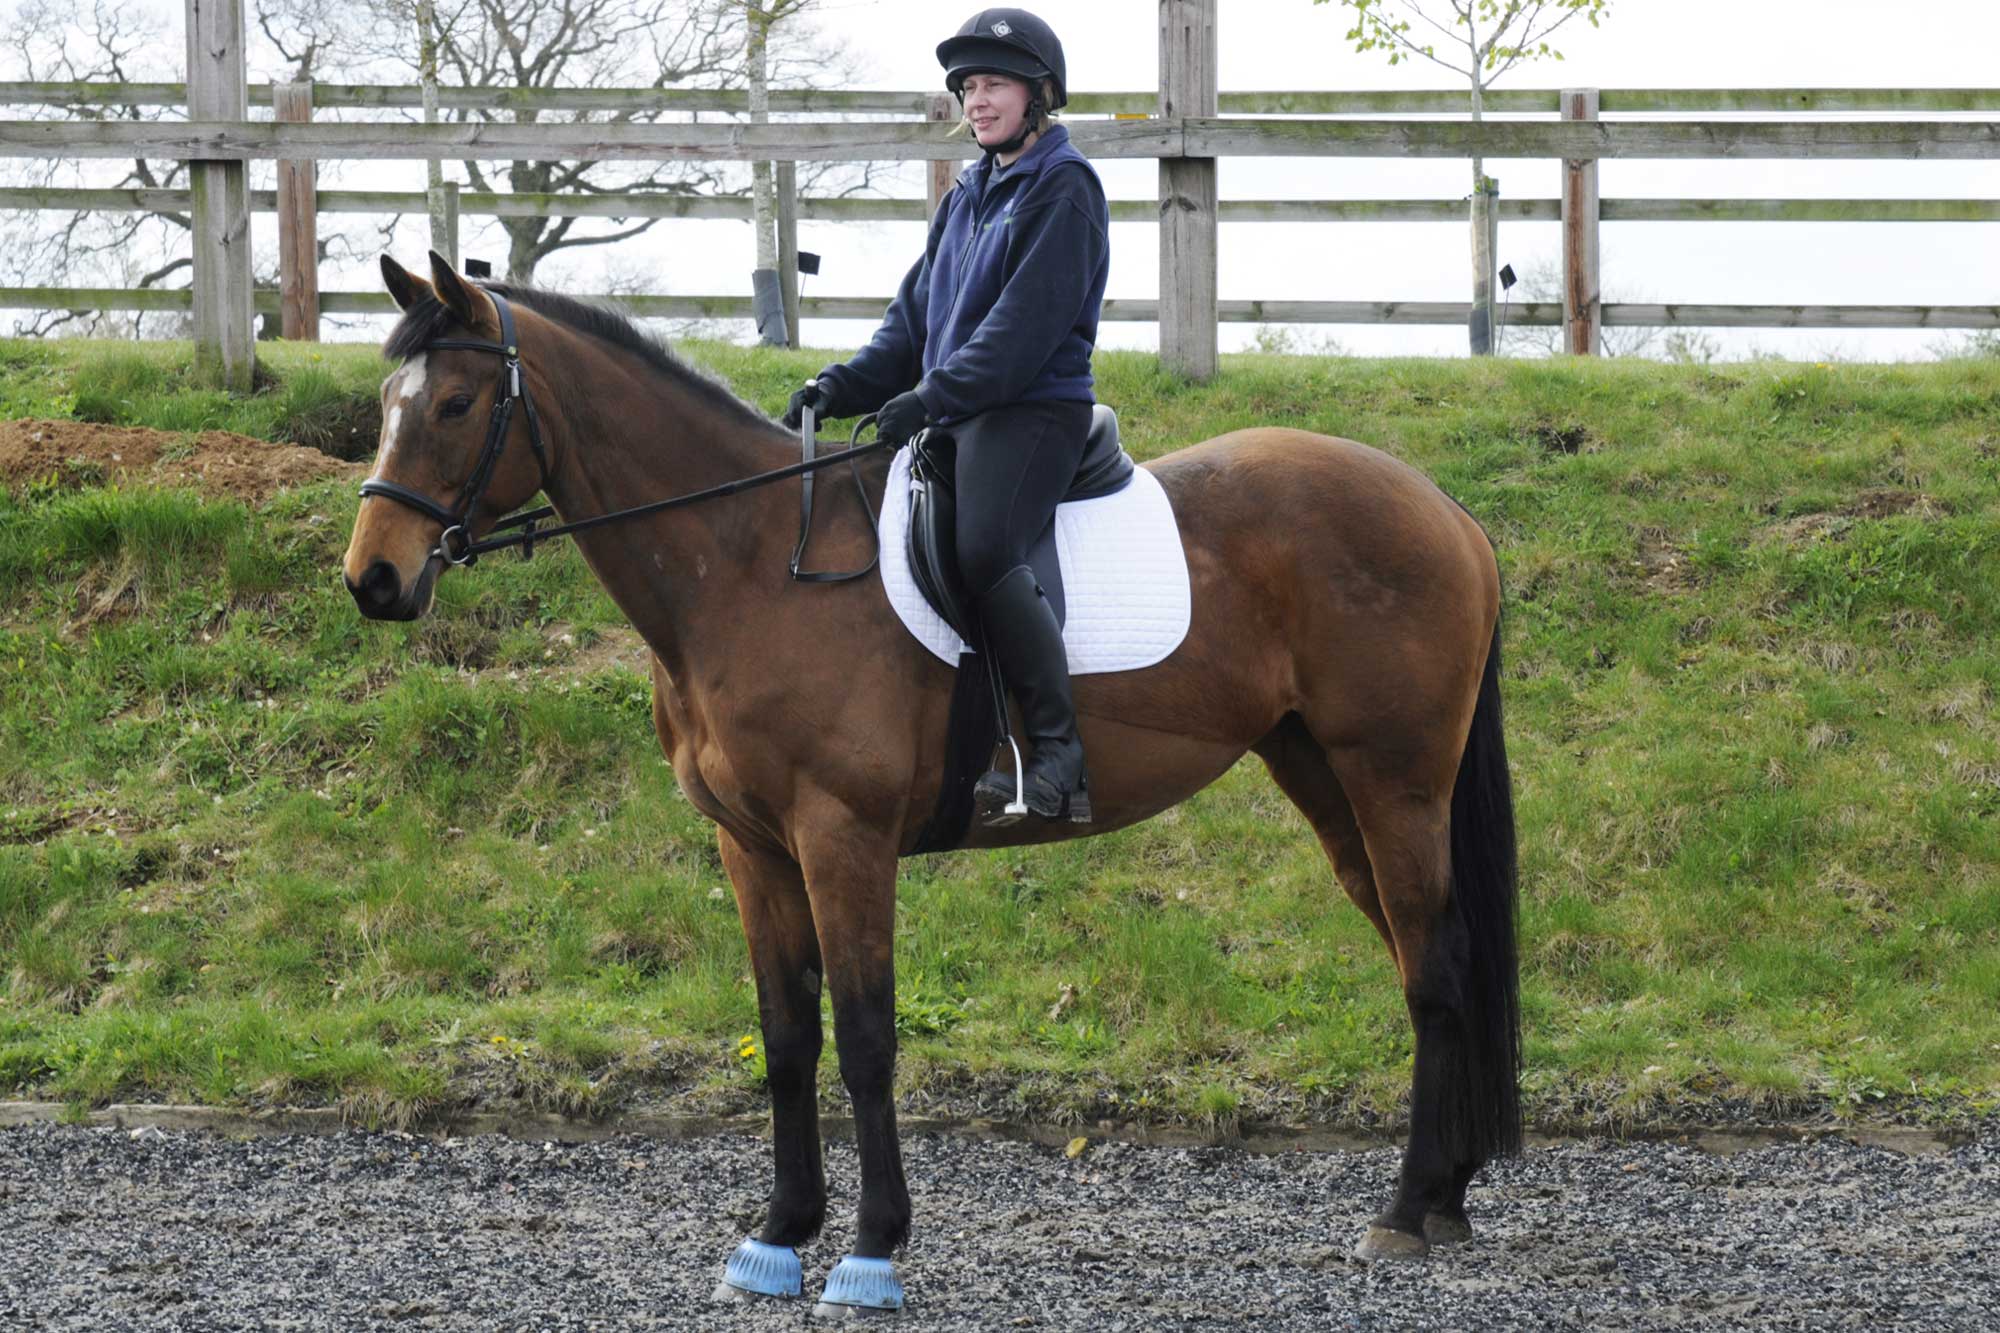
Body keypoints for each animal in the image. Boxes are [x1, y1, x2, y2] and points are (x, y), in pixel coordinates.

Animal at [344, 252, 1520, 1314]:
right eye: (388, 405)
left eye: (455, 403)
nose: (374, 580)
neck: (748, 560)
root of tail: (1446, 511)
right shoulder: (753, 847)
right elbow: (786, 1036)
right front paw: (779, 1234)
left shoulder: (843, 838)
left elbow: (866, 1038)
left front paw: (870, 1250)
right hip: (1324, 777)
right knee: (1433, 952)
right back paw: (1447, 1196)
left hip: (1392, 781)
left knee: (1430, 966)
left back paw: (1404, 1210)